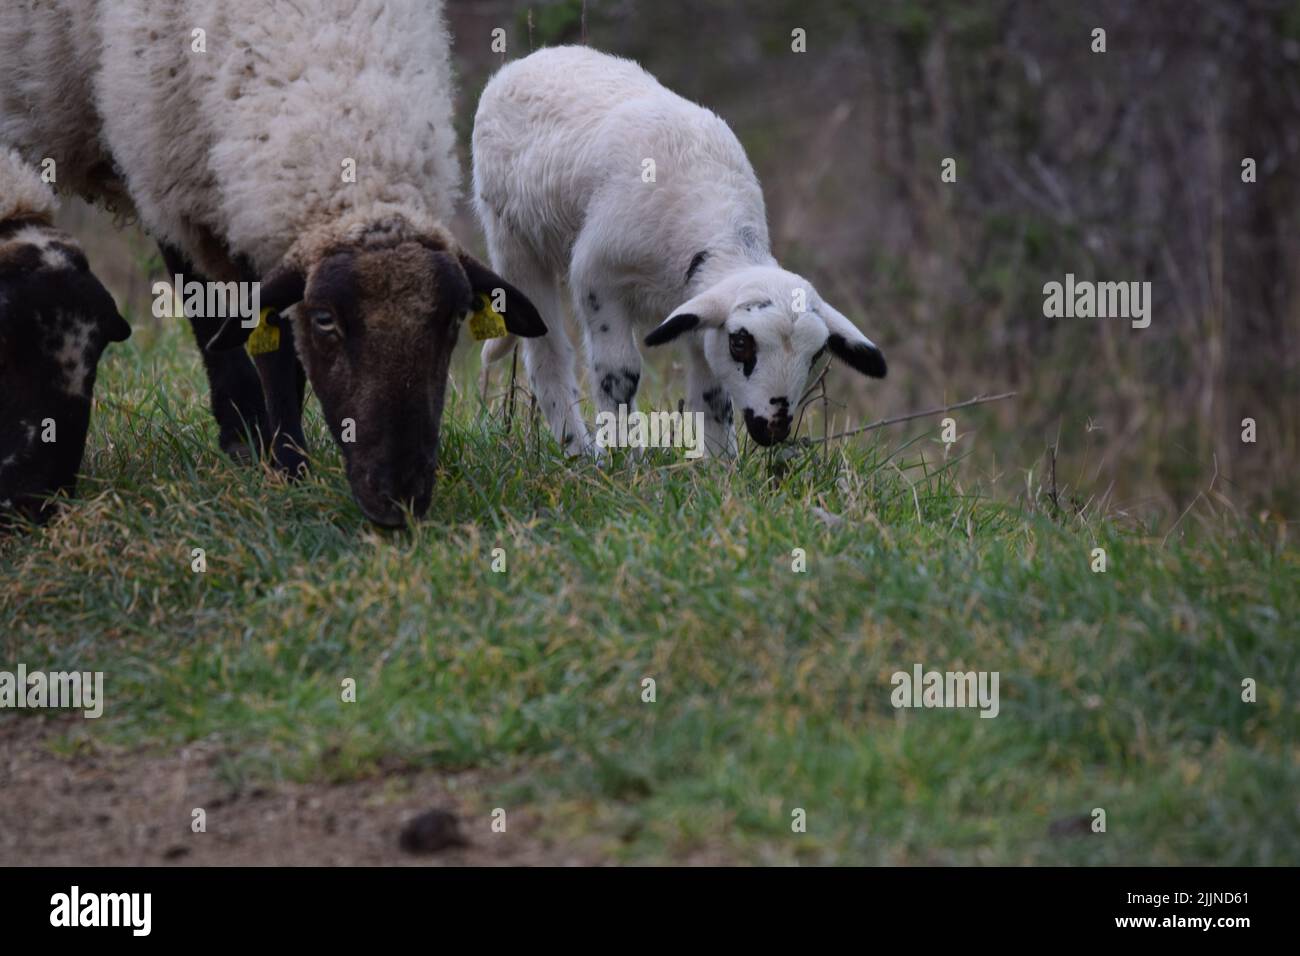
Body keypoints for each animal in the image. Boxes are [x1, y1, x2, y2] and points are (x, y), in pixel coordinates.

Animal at [475, 46, 886, 458]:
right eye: (741, 343)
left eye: (815, 354)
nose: (773, 429)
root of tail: (538, 57)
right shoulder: (598, 280)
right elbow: (619, 374)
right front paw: (624, 458)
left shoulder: (696, 306)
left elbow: (713, 395)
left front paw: (722, 467)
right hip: (511, 236)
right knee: (549, 355)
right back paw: (577, 449)